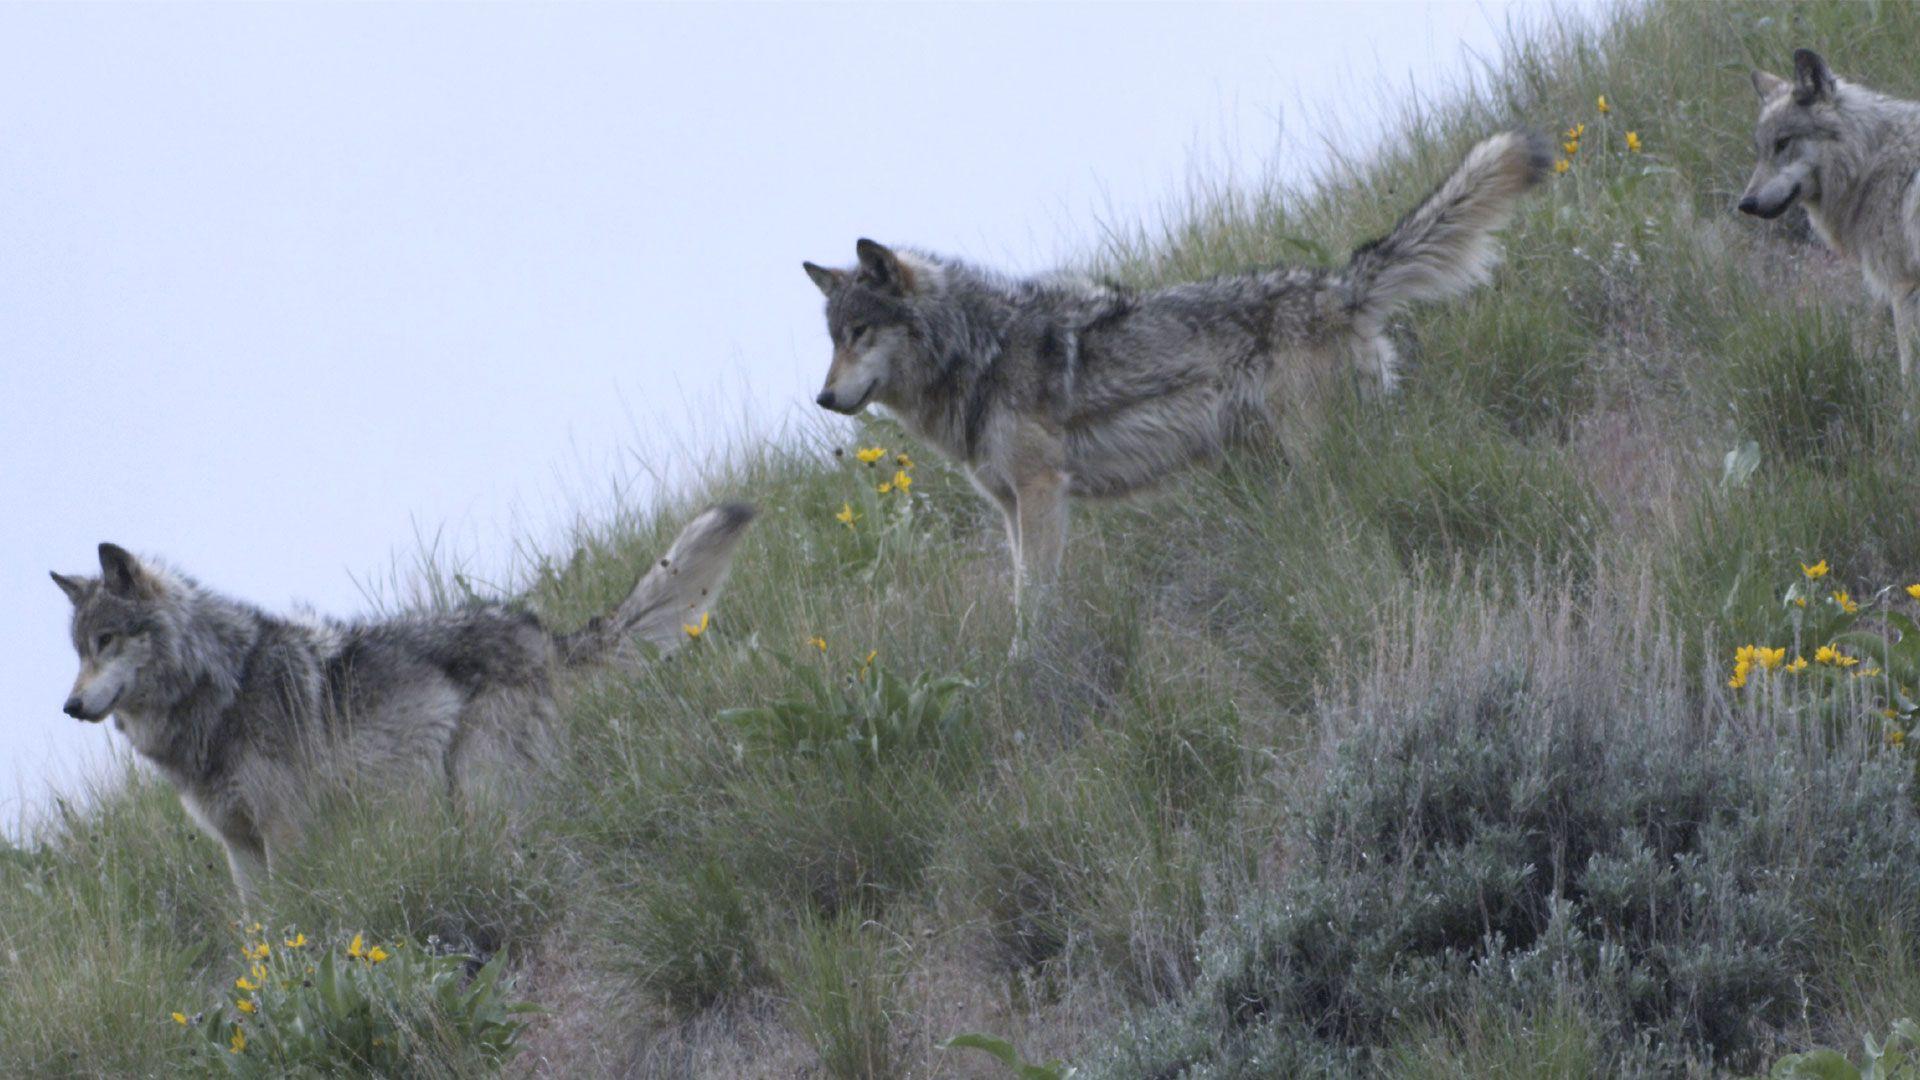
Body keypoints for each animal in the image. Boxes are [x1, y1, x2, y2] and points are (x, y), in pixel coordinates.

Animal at [49, 503, 754, 902]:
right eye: (79, 649)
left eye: (107, 640)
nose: (70, 706)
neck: (221, 689)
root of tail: (537, 630)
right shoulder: (239, 847)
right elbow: (260, 934)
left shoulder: (286, 830)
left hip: (484, 790)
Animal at [803, 132, 1547, 606]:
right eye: (833, 339)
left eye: (861, 333)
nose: (823, 398)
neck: (978, 352)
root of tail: (1338, 284)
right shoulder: (1012, 506)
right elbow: (1022, 594)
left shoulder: (1042, 493)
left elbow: (1033, 604)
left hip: (1316, 453)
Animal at [1741, 49, 1920, 395]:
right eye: (1762, 150)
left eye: (1783, 143)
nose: (1745, 204)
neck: (1869, 163)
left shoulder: (1905, 288)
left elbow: (1909, 374)